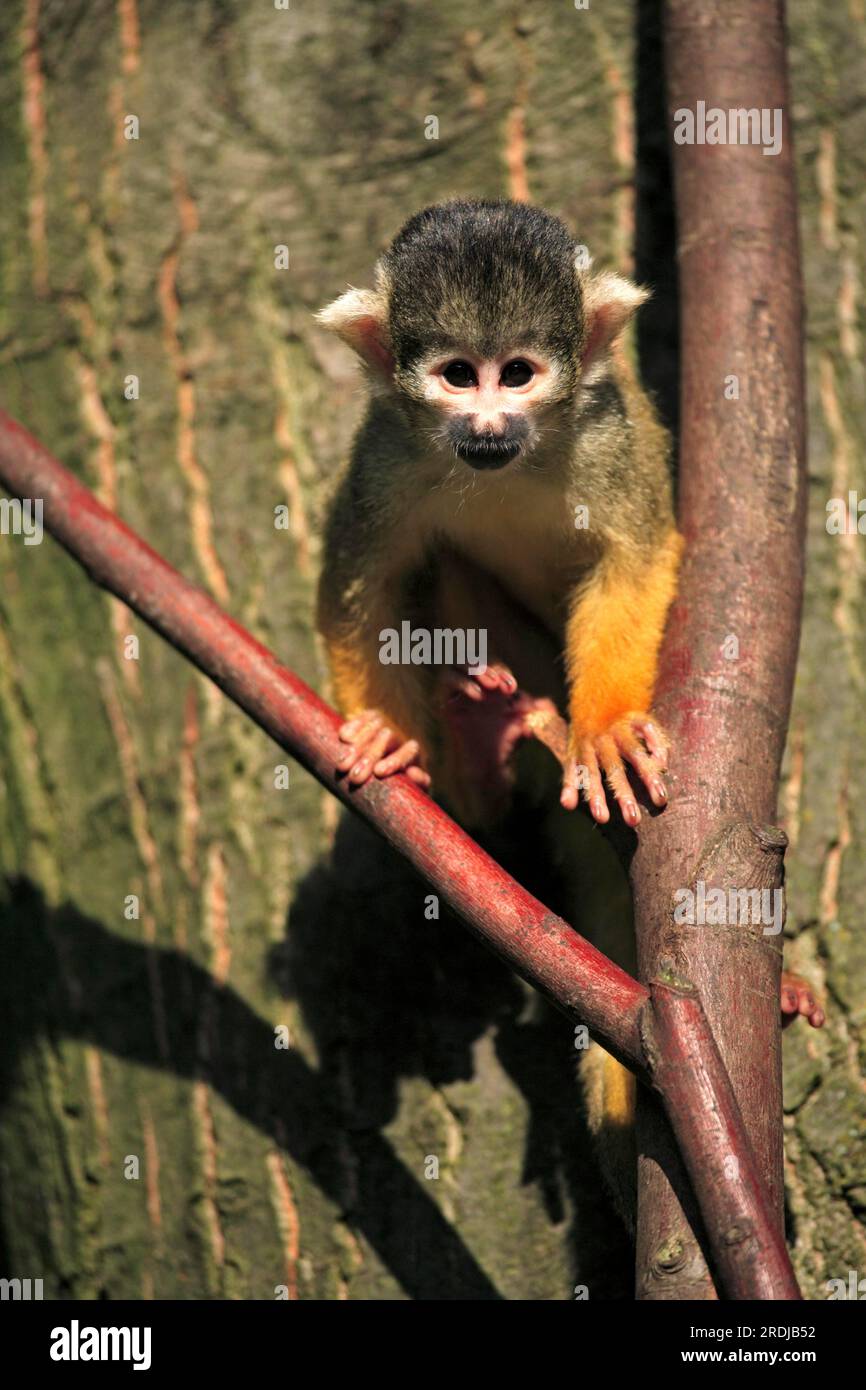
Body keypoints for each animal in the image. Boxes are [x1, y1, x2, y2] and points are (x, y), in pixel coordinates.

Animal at [315, 199, 825, 1225]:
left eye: (517, 373)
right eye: (457, 375)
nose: (488, 422)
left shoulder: (608, 437)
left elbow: (632, 558)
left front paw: (605, 730)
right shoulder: (387, 453)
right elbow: (359, 586)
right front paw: (390, 733)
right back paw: (476, 765)